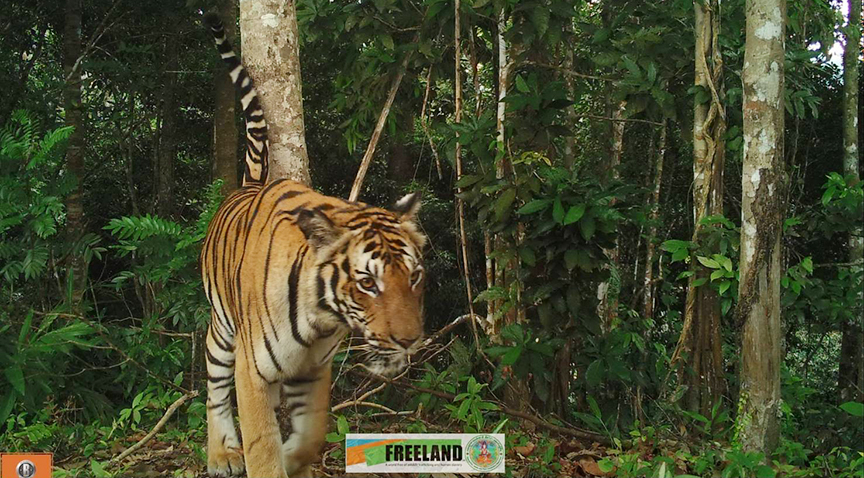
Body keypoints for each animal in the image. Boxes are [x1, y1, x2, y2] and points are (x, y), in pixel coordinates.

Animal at [201, 13, 427, 478]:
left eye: (414, 277)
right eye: (367, 283)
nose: (409, 341)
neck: (321, 318)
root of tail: (248, 186)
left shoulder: (314, 370)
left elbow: (310, 436)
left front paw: (294, 457)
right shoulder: (252, 370)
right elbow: (262, 447)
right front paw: (270, 458)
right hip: (222, 330)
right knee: (214, 388)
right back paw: (221, 453)